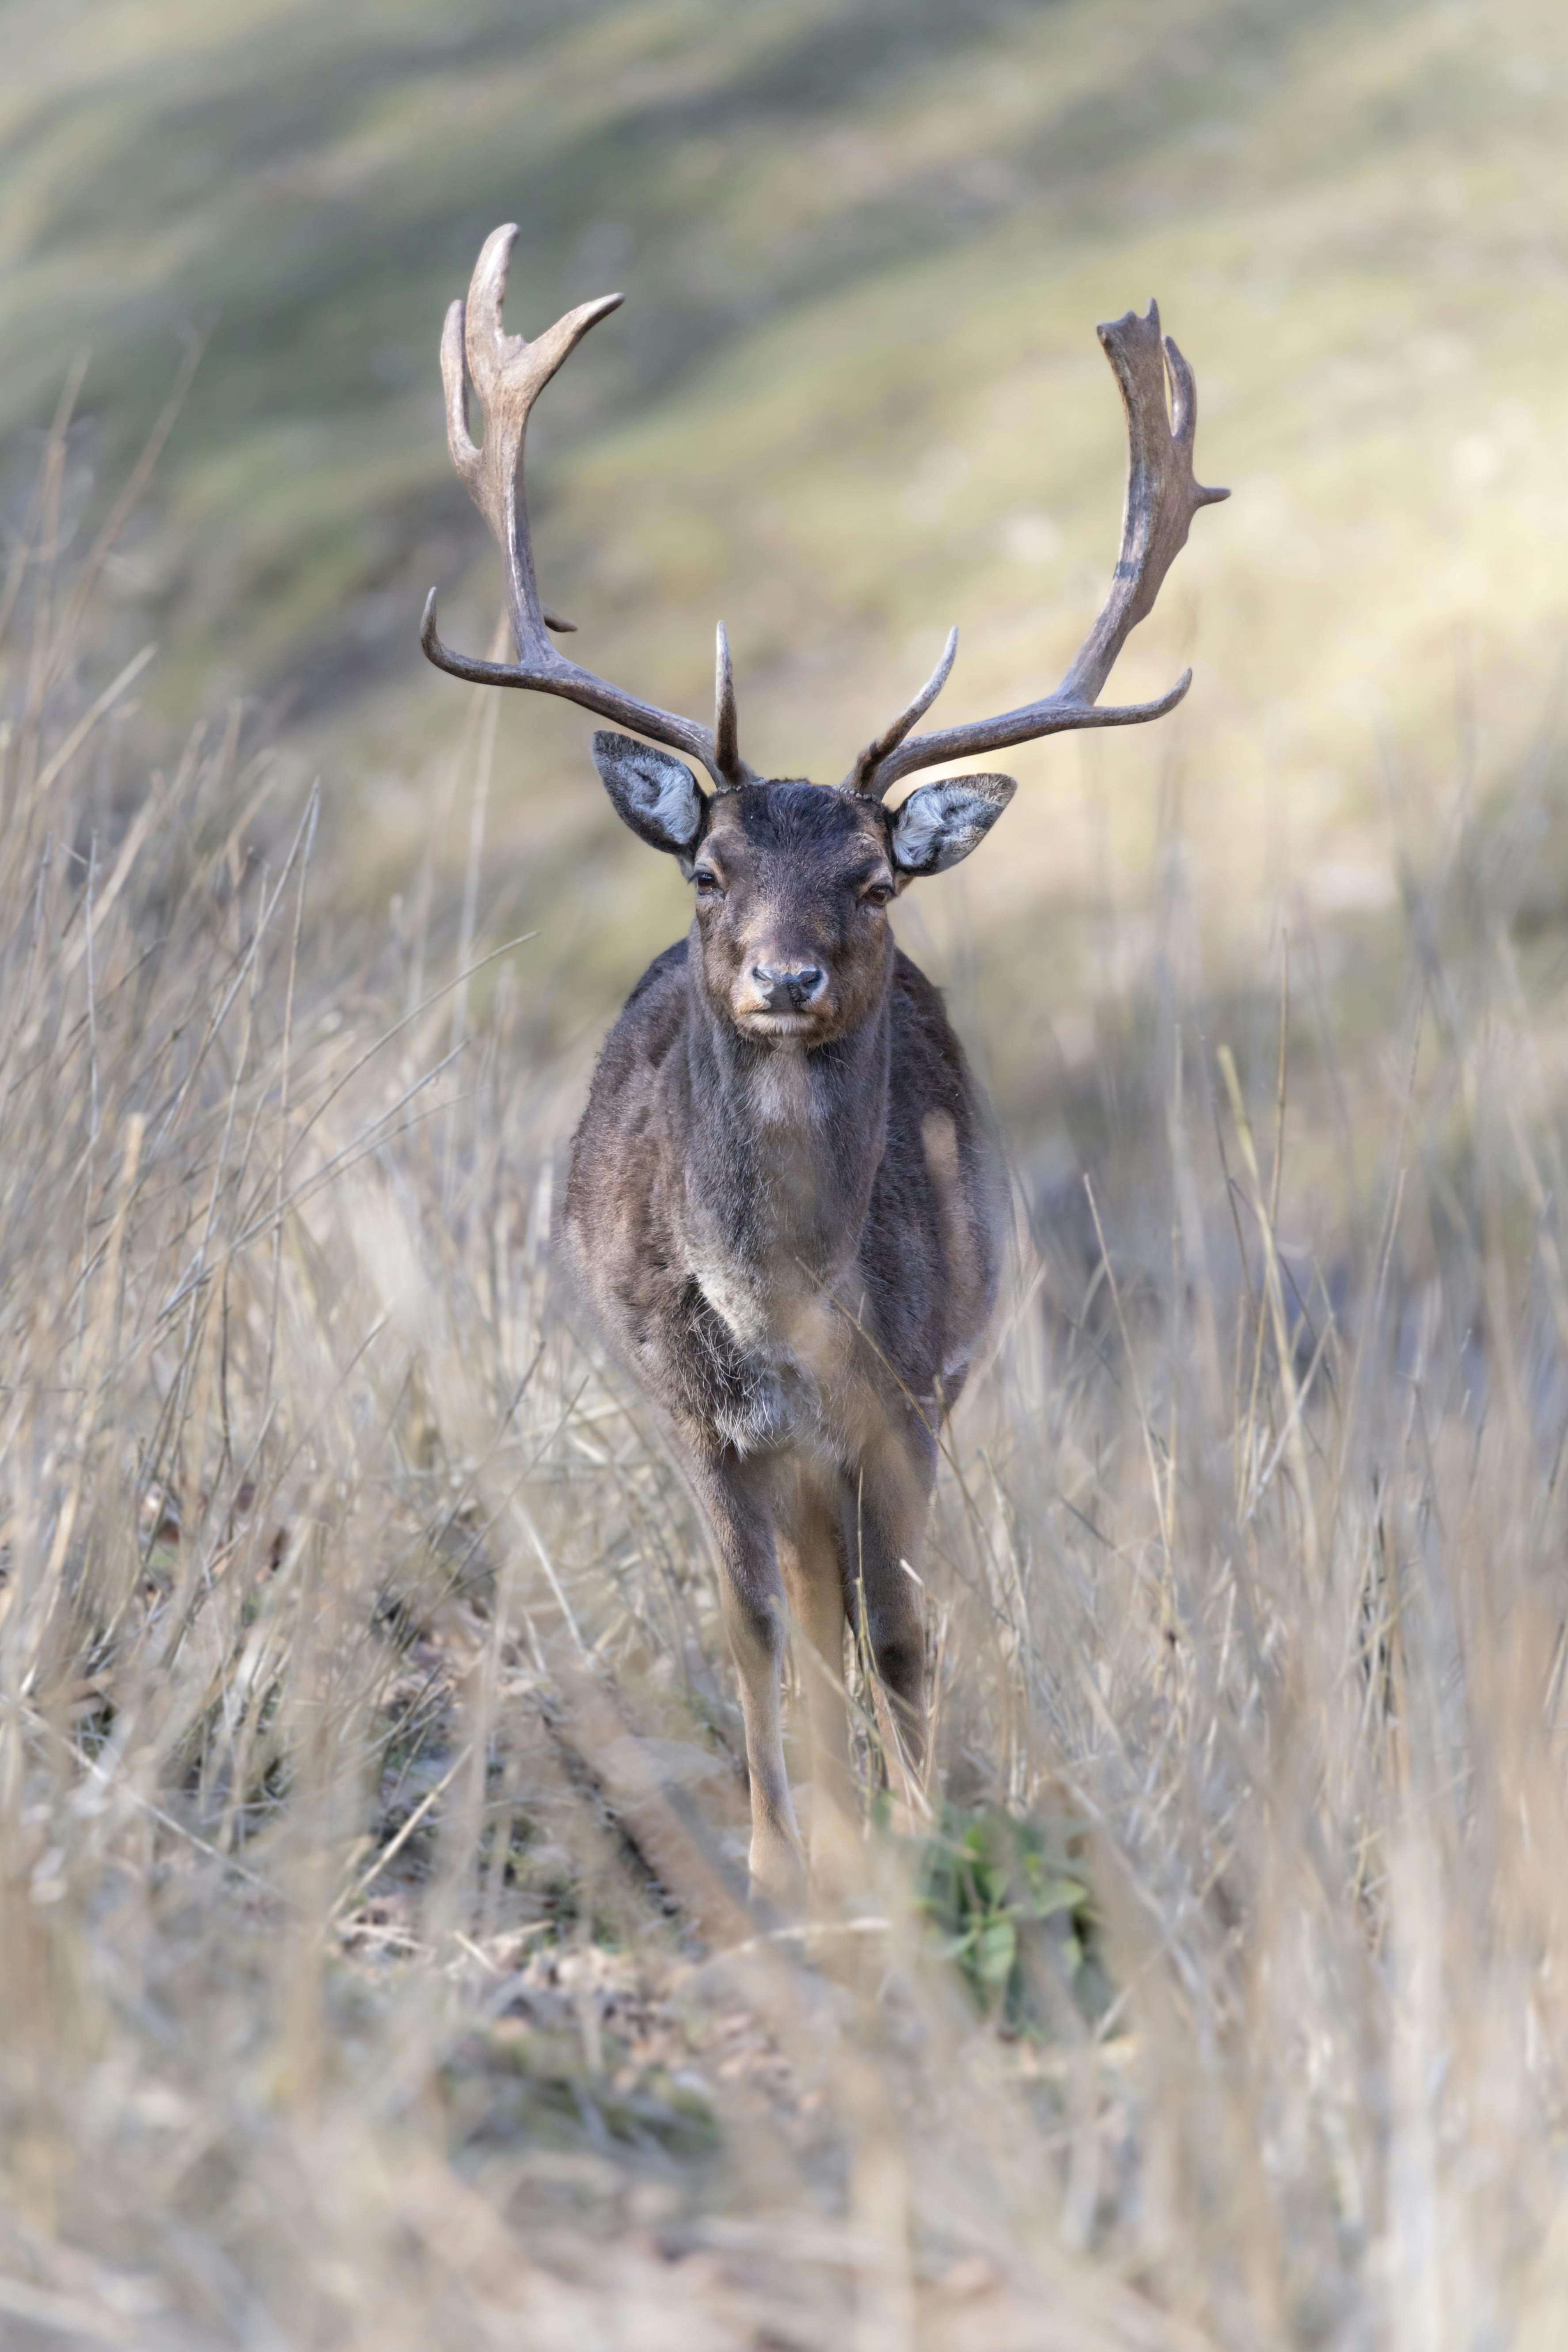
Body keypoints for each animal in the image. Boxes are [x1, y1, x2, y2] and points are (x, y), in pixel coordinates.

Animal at [421, 224, 1226, 1908]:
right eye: (708, 869)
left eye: (871, 878)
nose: (783, 978)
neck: (784, 1321)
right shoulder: (694, 1415)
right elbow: (749, 1628)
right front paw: (780, 1859)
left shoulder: (908, 1398)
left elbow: (904, 1633)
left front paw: (920, 1845)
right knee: (797, 1603)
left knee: (856, 1610)